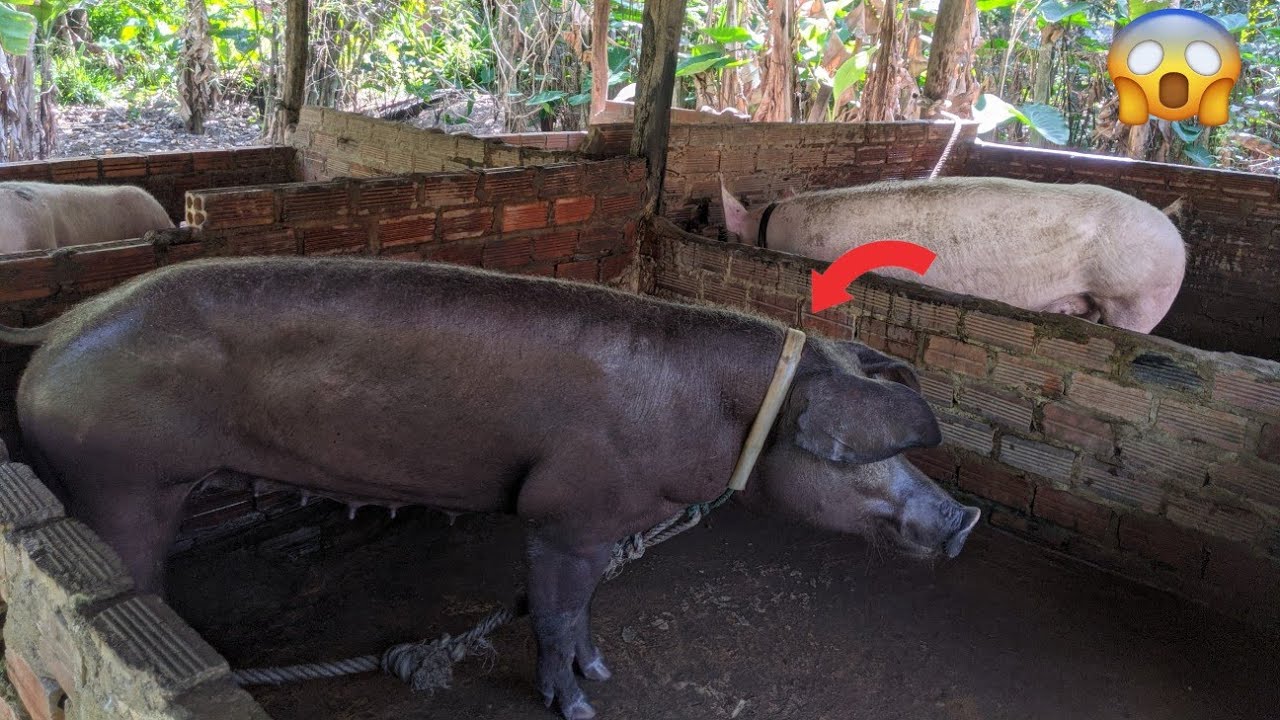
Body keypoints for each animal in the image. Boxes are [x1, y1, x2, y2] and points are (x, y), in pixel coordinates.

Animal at [1, 256, 980, 719]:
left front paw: (602, 668)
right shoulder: (565, 511)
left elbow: (585, 610)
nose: (964, 517)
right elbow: (552, 610)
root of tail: (57, 330)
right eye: (860, 457)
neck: (730, 414)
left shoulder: (605, 522)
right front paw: (580, 705)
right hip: (120, 477)